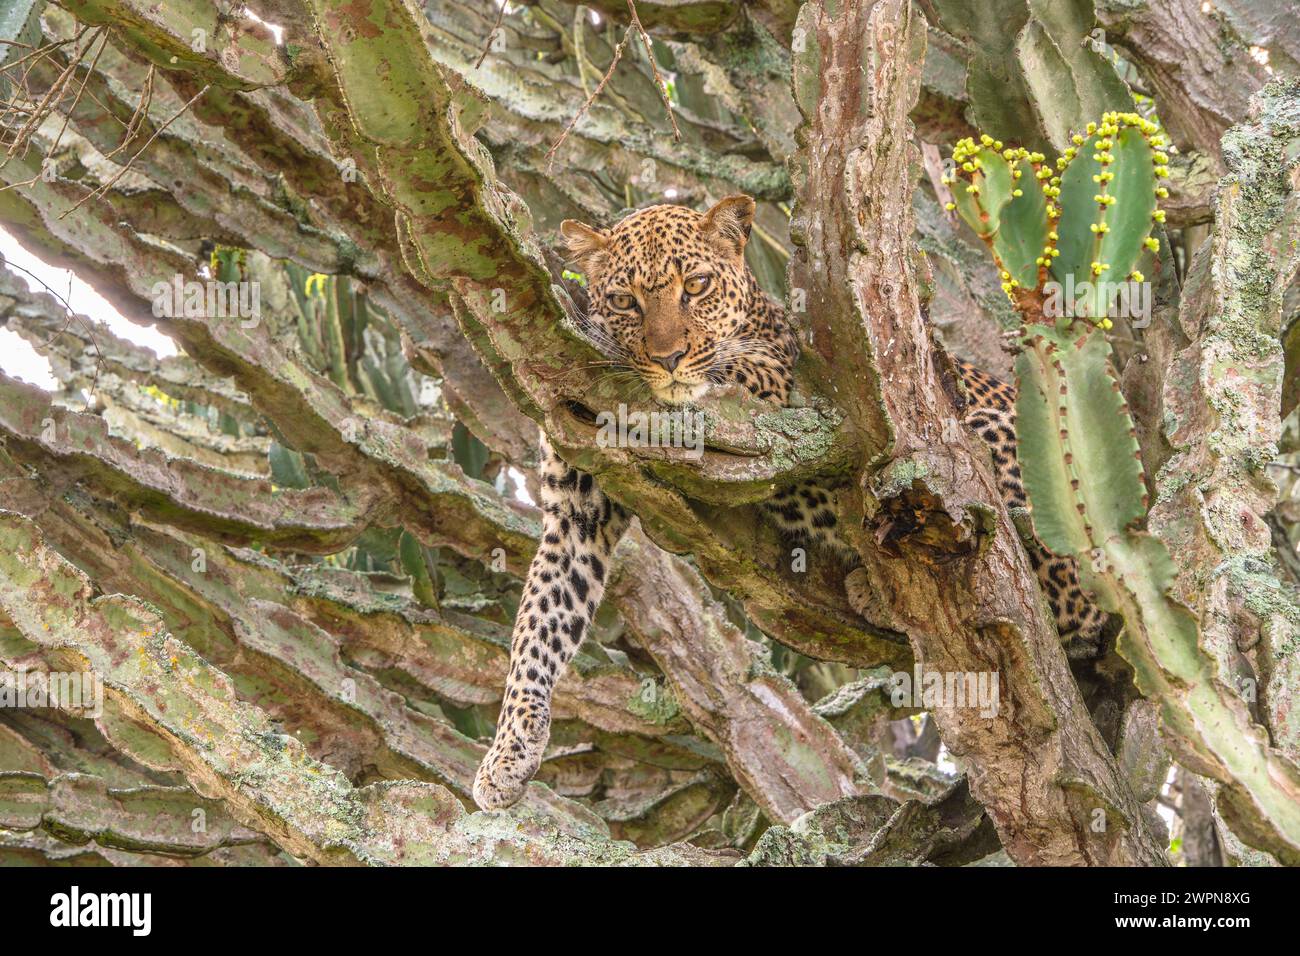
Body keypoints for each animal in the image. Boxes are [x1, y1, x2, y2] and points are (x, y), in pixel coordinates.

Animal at [471, 196, 1105, 810]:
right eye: (626, 300)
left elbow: (735, 369)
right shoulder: (574, 518)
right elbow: (537, 628)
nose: (668, 357)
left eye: (695, 286)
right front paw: (508, 753)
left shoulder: (792, 390)